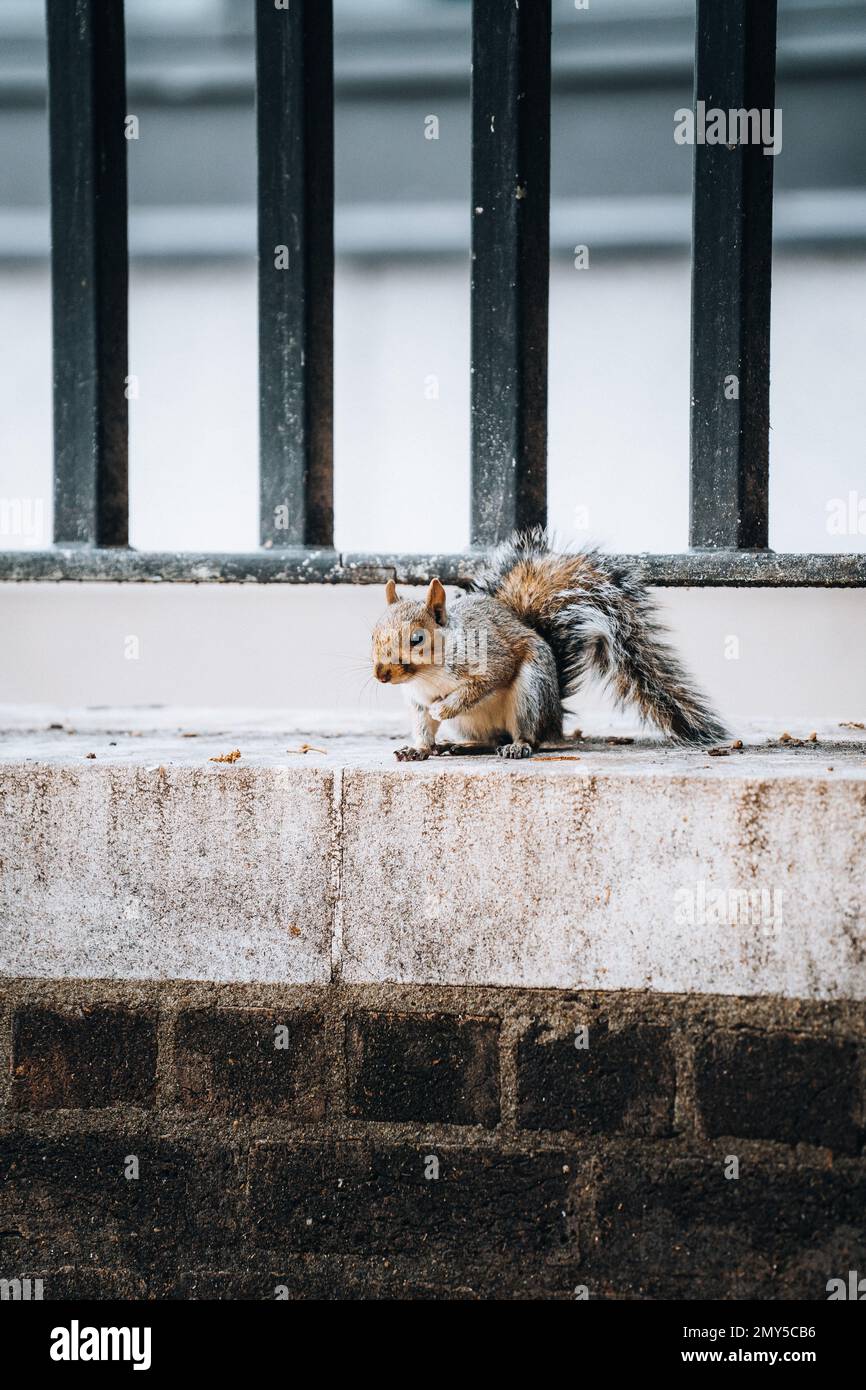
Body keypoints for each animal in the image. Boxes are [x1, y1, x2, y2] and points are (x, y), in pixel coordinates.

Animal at [372, 528, 727, 759]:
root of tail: (555, 717)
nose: (381, 675)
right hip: (473, 724)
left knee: (528, 736)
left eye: (417, 638)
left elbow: (484, 682)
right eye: (373, 634)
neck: (428, 675)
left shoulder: (489, 658)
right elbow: (422, 725)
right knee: (490, 739)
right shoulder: (416, 701)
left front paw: (444, 707)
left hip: (531, 693)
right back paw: (459, 746)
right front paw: (417, 749)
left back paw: (518, 746)